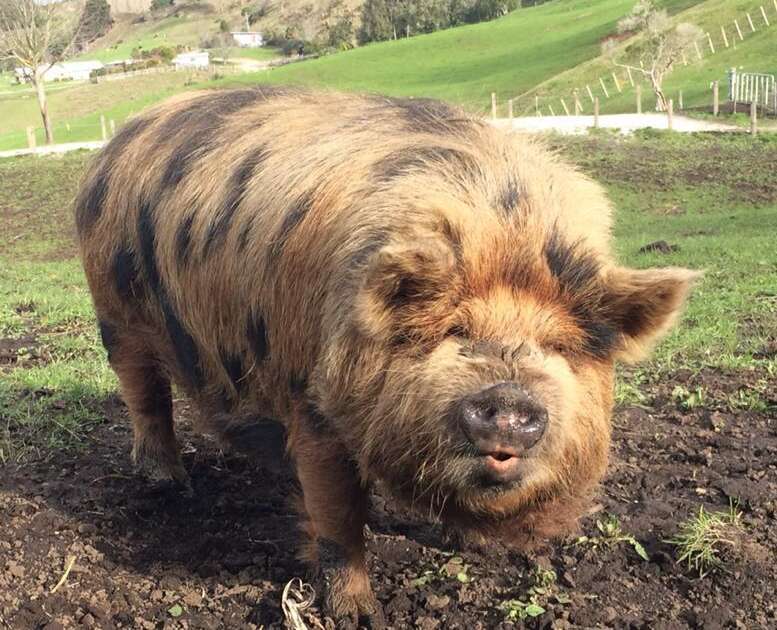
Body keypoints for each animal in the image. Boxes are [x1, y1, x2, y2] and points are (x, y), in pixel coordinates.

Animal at [74, 87, 697, 626]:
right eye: (453, 331)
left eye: (558, 346)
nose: (508, 397)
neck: (500, 229)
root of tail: (125, 134)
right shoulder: (313, 401)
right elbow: (337, 517)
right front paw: (358, 615)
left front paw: (473, 546)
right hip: (114, 313)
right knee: (145, 394)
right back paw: (166, 482)